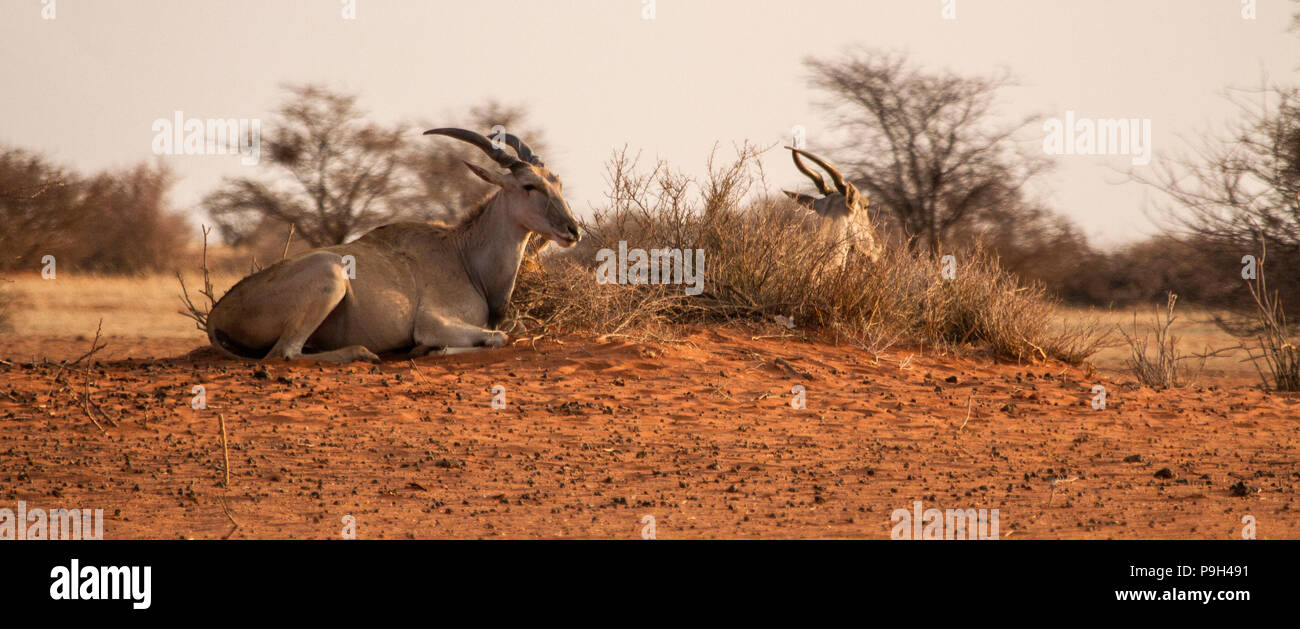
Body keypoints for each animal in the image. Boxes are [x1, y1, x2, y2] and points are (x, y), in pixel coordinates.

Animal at [205, 128, 580, 363]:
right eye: (529, 186)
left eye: (558, 183)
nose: (573, 230)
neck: (463, 255)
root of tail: (217, 313)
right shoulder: (434, 323)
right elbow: (498, 338)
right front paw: (426, 351)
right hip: (330, 273)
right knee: (284, 353)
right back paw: (361, 353)